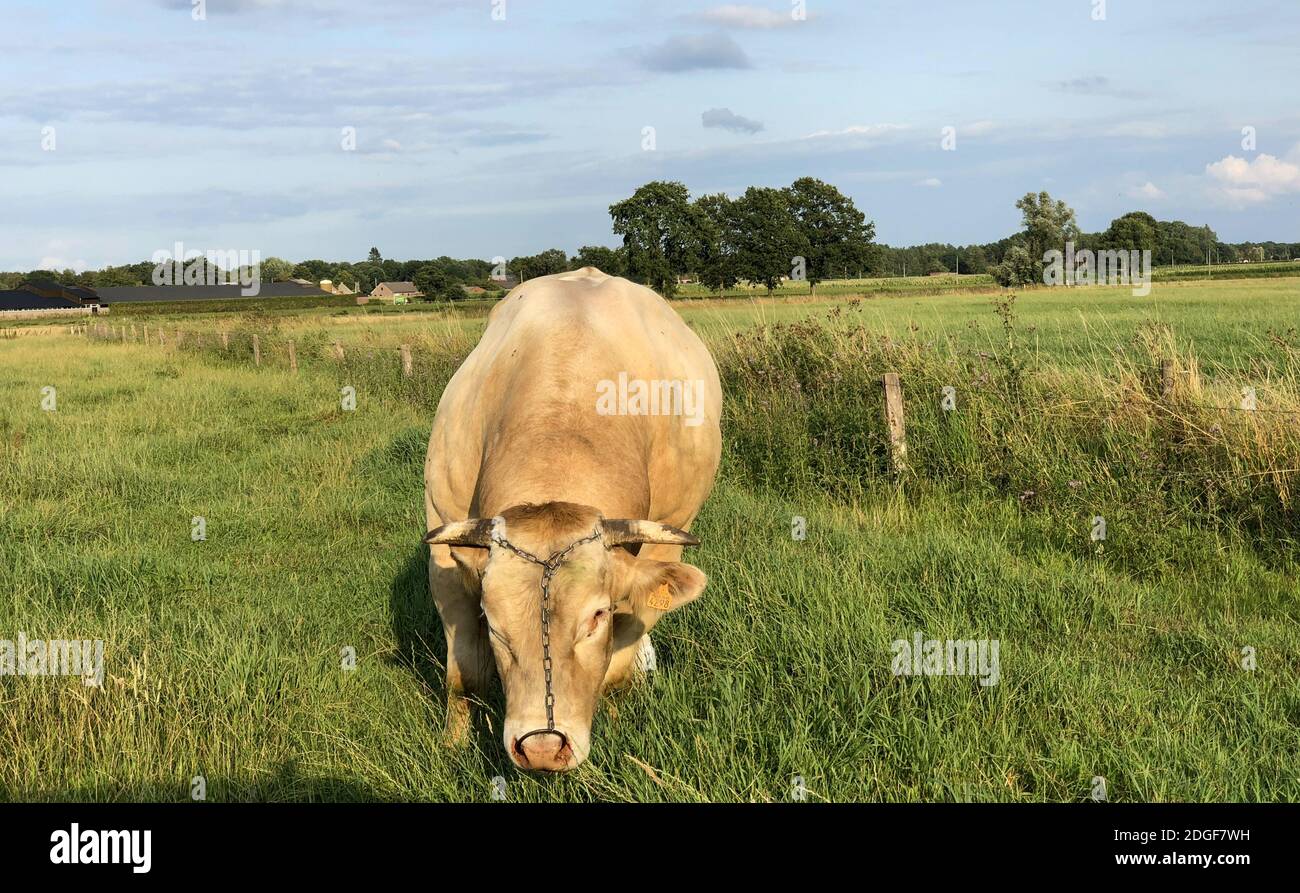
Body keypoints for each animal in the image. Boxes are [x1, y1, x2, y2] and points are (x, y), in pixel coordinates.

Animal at [422, 267, 722, 772]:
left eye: (597, 615)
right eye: (491, 620)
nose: (542, 747)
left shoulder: (659, 549)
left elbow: (617, 670)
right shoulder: (444, 553)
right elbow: (463, 676)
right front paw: (451, 746)